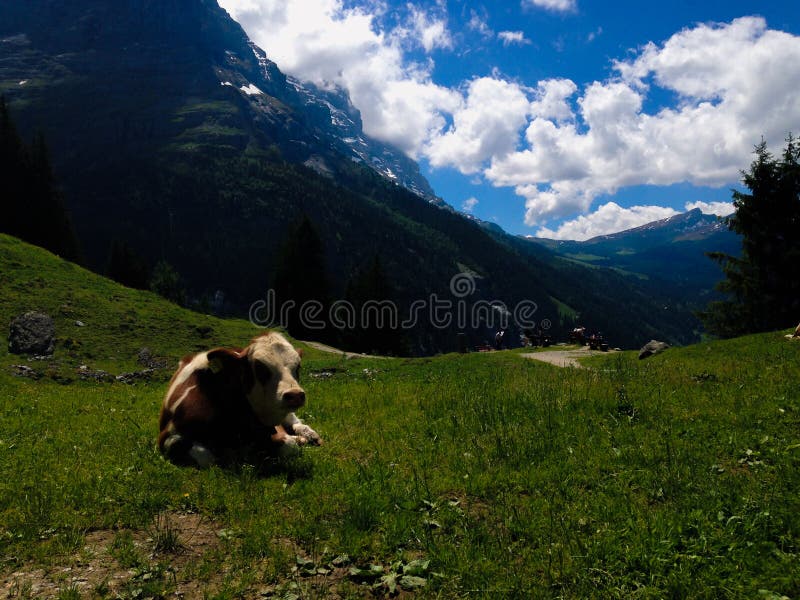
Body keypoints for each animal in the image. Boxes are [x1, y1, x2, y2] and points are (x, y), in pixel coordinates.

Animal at [158, 332, 321, 467]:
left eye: (298, 367)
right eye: (259, 367)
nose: (295, 395)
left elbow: (289, 444)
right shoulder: (168, 436)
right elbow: (208, 458)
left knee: (295, 421)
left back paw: (309, 435)